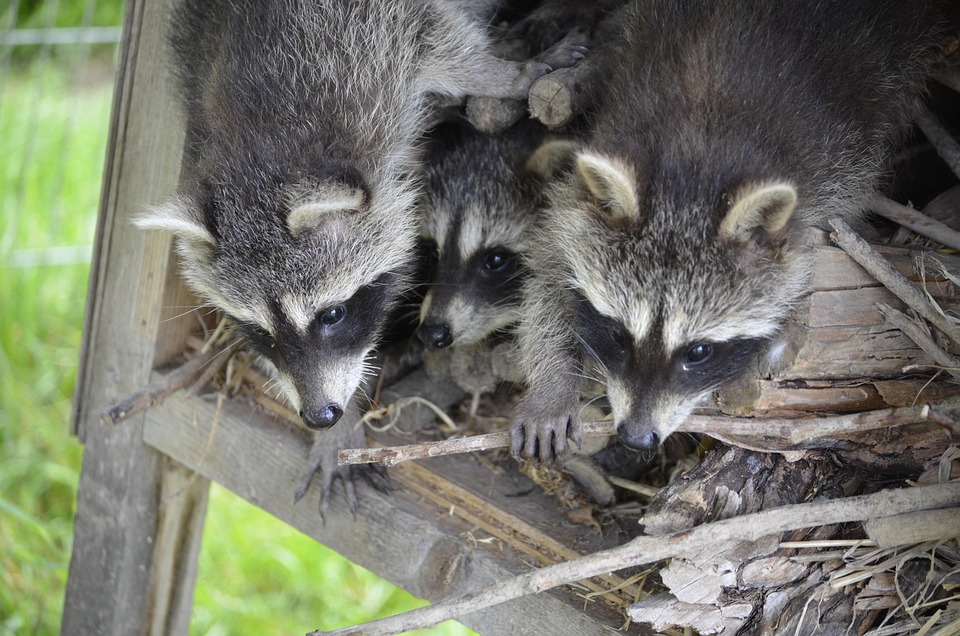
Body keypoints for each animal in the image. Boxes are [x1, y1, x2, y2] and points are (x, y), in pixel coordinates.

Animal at [512, 0, 944, 462]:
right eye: (617, 334)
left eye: (698, 352)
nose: (636, 438)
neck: (692, 168)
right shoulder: (580, 191)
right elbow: (548, 263)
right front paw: (552, 384)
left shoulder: (839, 169)